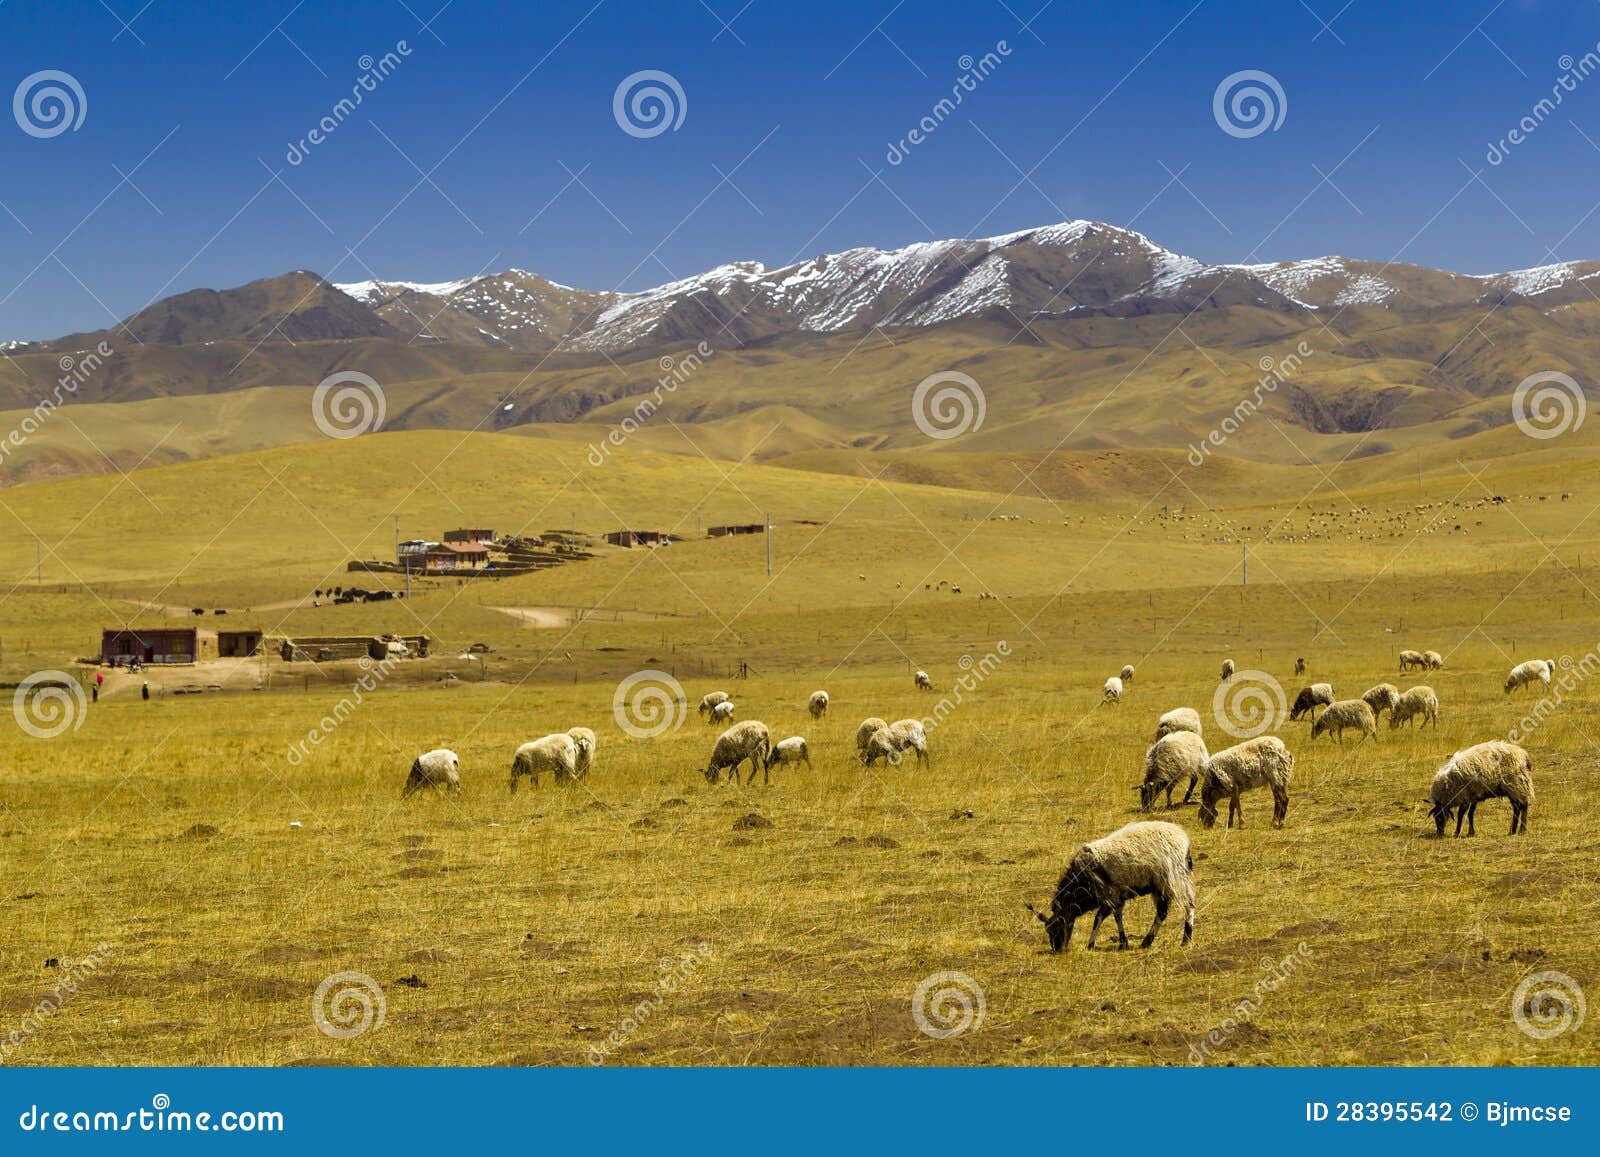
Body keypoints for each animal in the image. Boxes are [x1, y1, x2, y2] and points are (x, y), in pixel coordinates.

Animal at [1026, 821, 1195, 950]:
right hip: (1162, 885)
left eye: (1056, 927)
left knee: (1185, 906)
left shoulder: (1110, 895)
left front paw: (1118, 943)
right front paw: (1095, 943)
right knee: (1165, 911)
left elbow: (1106, 917)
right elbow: (1105, 916)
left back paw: (1183, 939)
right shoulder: (1111, 897)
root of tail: (1184, 841)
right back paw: (1152, 941)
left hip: (1172, 879)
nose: (1057, 949)